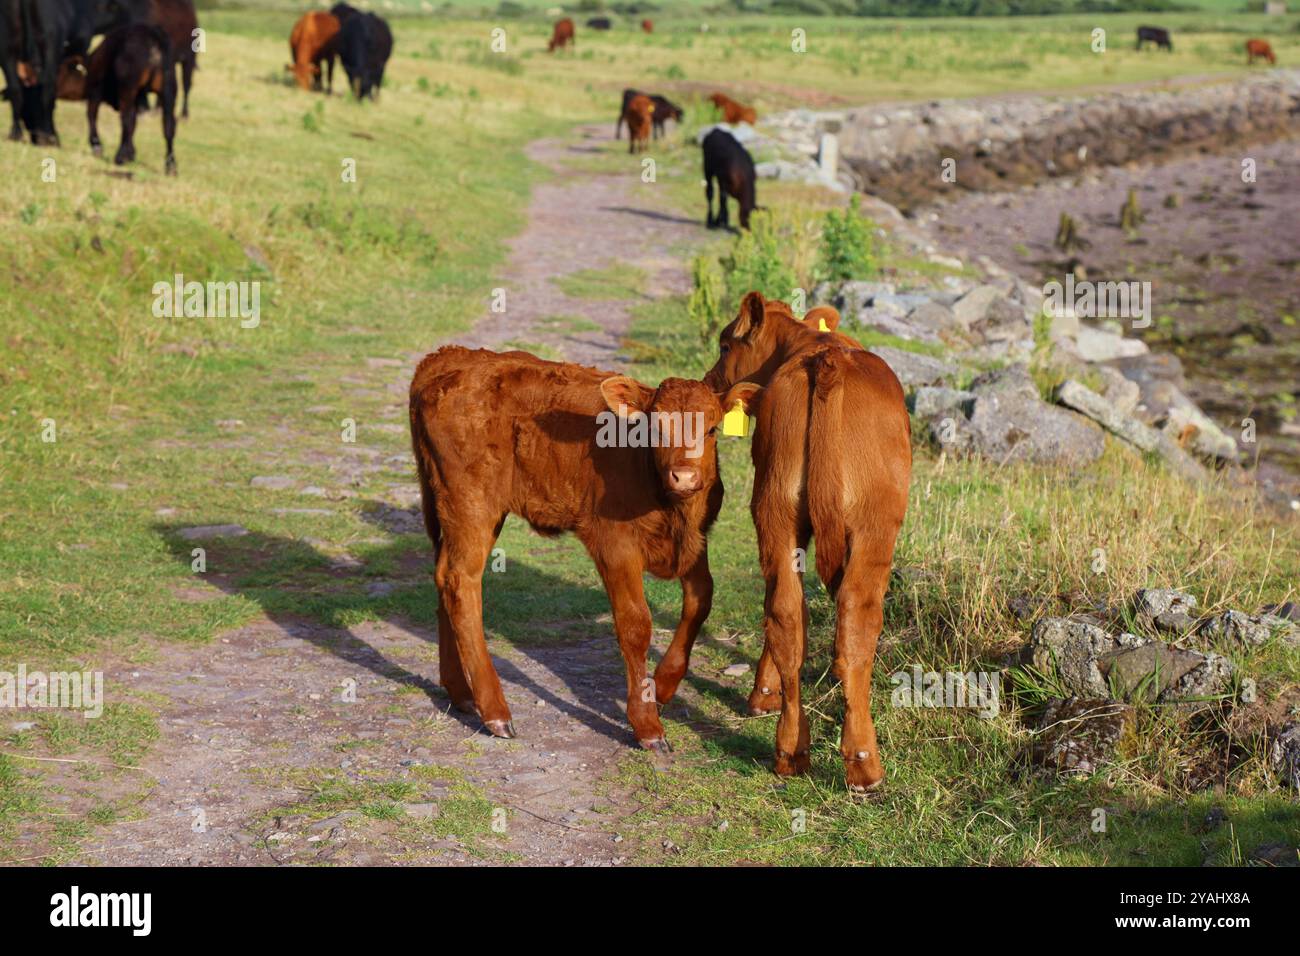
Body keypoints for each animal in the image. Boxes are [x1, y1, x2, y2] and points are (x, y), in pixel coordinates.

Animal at [56, 22, 175, 173]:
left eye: (61, 69)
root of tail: (153, 34)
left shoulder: (96, 90)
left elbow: (91, 114)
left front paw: (98, 146)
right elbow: (134, 122)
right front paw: (131, 153)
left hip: (127, 86)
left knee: (126, 119)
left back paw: (120, 156)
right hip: (168, 87)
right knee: (168, 124)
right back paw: (171, 166)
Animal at [409, 346, 761, 750]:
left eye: (712, 428)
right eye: (656, 428)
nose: (684, 477)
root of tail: (452, 357)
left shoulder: (694, 541)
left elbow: (701, 600)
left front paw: (663, 685)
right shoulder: (614, 544)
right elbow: (636, 624)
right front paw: (646, 724)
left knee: (443, 577)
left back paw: (461, 693)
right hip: (471, 505)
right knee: (461, 582)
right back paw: (495, 711)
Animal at [703, 292, 911, 791]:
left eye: (724, 346)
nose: (709, 385)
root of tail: (826, 362)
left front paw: (762, 695)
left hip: (775, 509)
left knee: (784, 613)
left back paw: (790, 750)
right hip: (875, 526)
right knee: (855, 622)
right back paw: (864, 764)